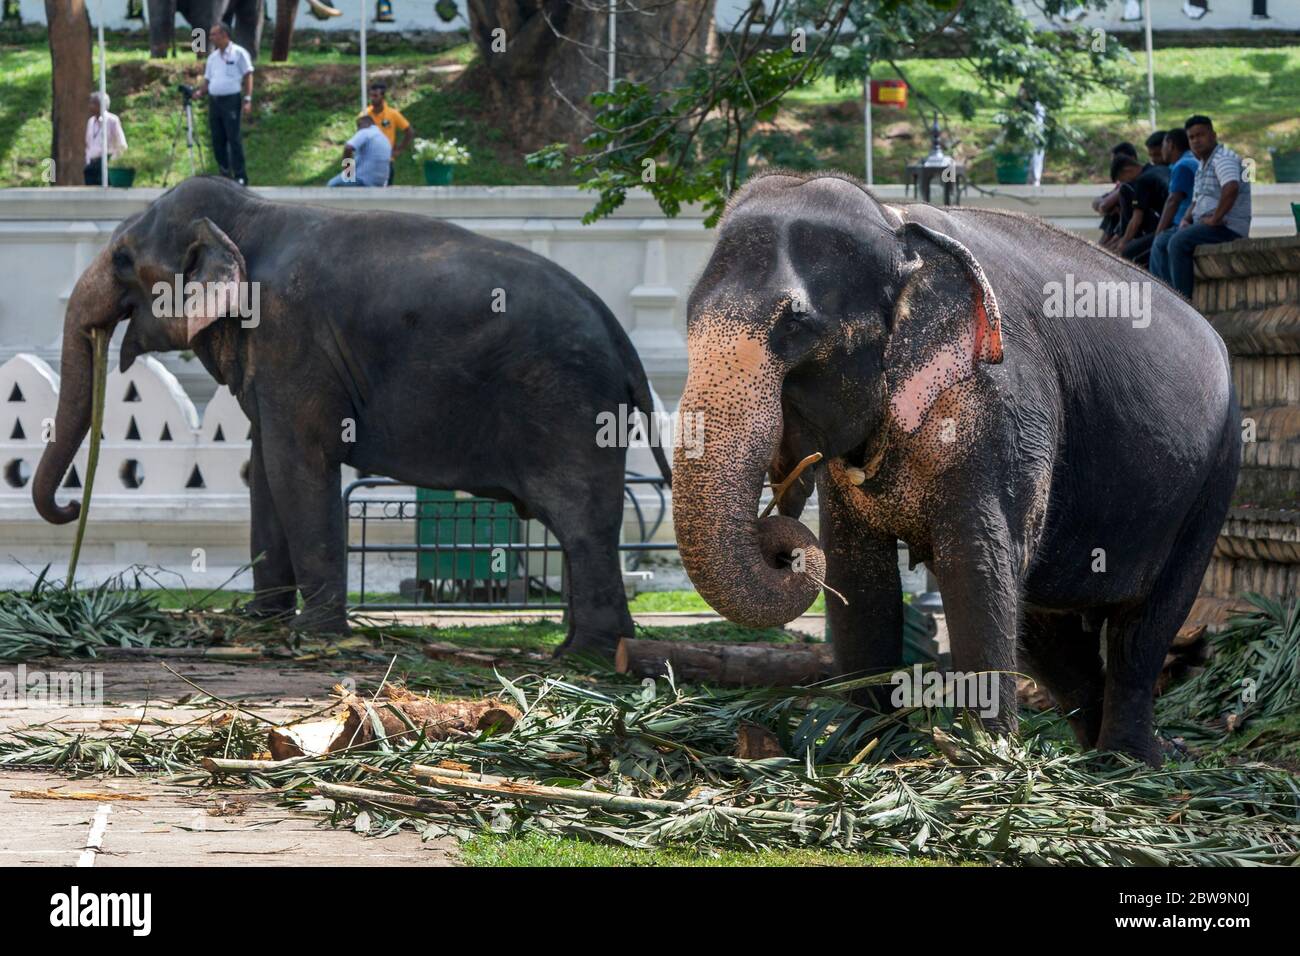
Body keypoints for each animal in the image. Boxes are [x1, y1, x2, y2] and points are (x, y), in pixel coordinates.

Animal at [33, 176, 670, 656]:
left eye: (122, 259)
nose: (70, 507)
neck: (249, 215)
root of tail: (621, 339)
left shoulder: (292, 339)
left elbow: (297, 467)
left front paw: (311, 635)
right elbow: (264, 472)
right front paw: (259, 622)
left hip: (566, 404)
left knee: (580, 521)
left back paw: (583, 655)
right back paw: (595, 650)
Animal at [672, 171, 1240, 763]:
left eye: (795, 324)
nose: (779, 536)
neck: (896, 224)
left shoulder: (1004, 404)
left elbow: (979, 562)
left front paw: (985, 761)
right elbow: (857, 574)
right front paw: (863, 748)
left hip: (1213, 478)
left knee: (1144, 626)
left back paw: (1130, 760)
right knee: (1048, 630)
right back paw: (1095, 758)